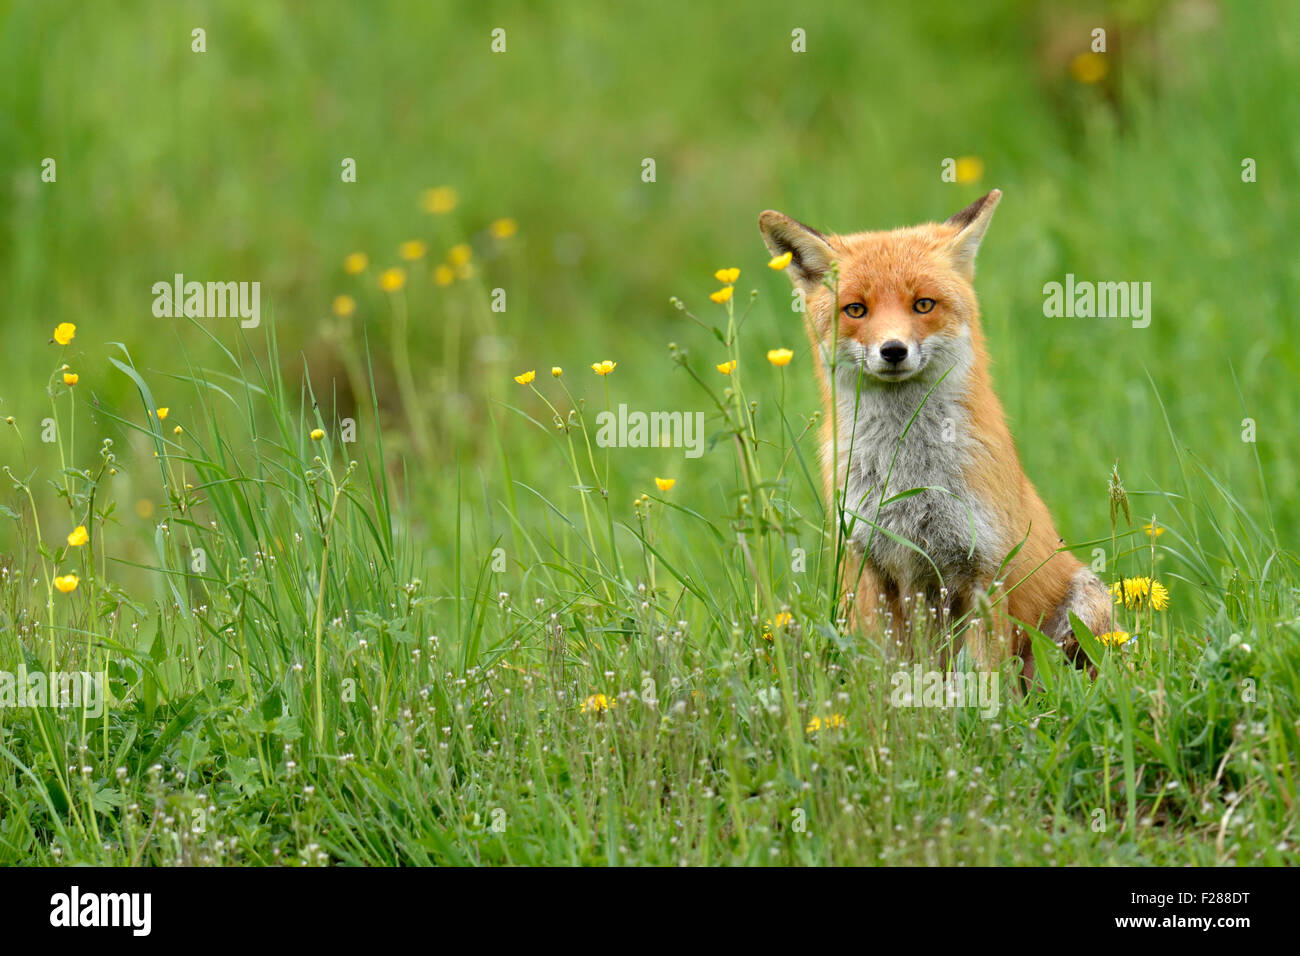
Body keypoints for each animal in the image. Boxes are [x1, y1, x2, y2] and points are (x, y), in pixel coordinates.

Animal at [758, 190, 1111, 679]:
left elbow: (979, 679)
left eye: (923, 305)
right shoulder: (875, 571)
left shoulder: (984, 570)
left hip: (1087, 605)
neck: (909, 474)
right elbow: (894, 673)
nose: (892, 350)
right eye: (856, 309)